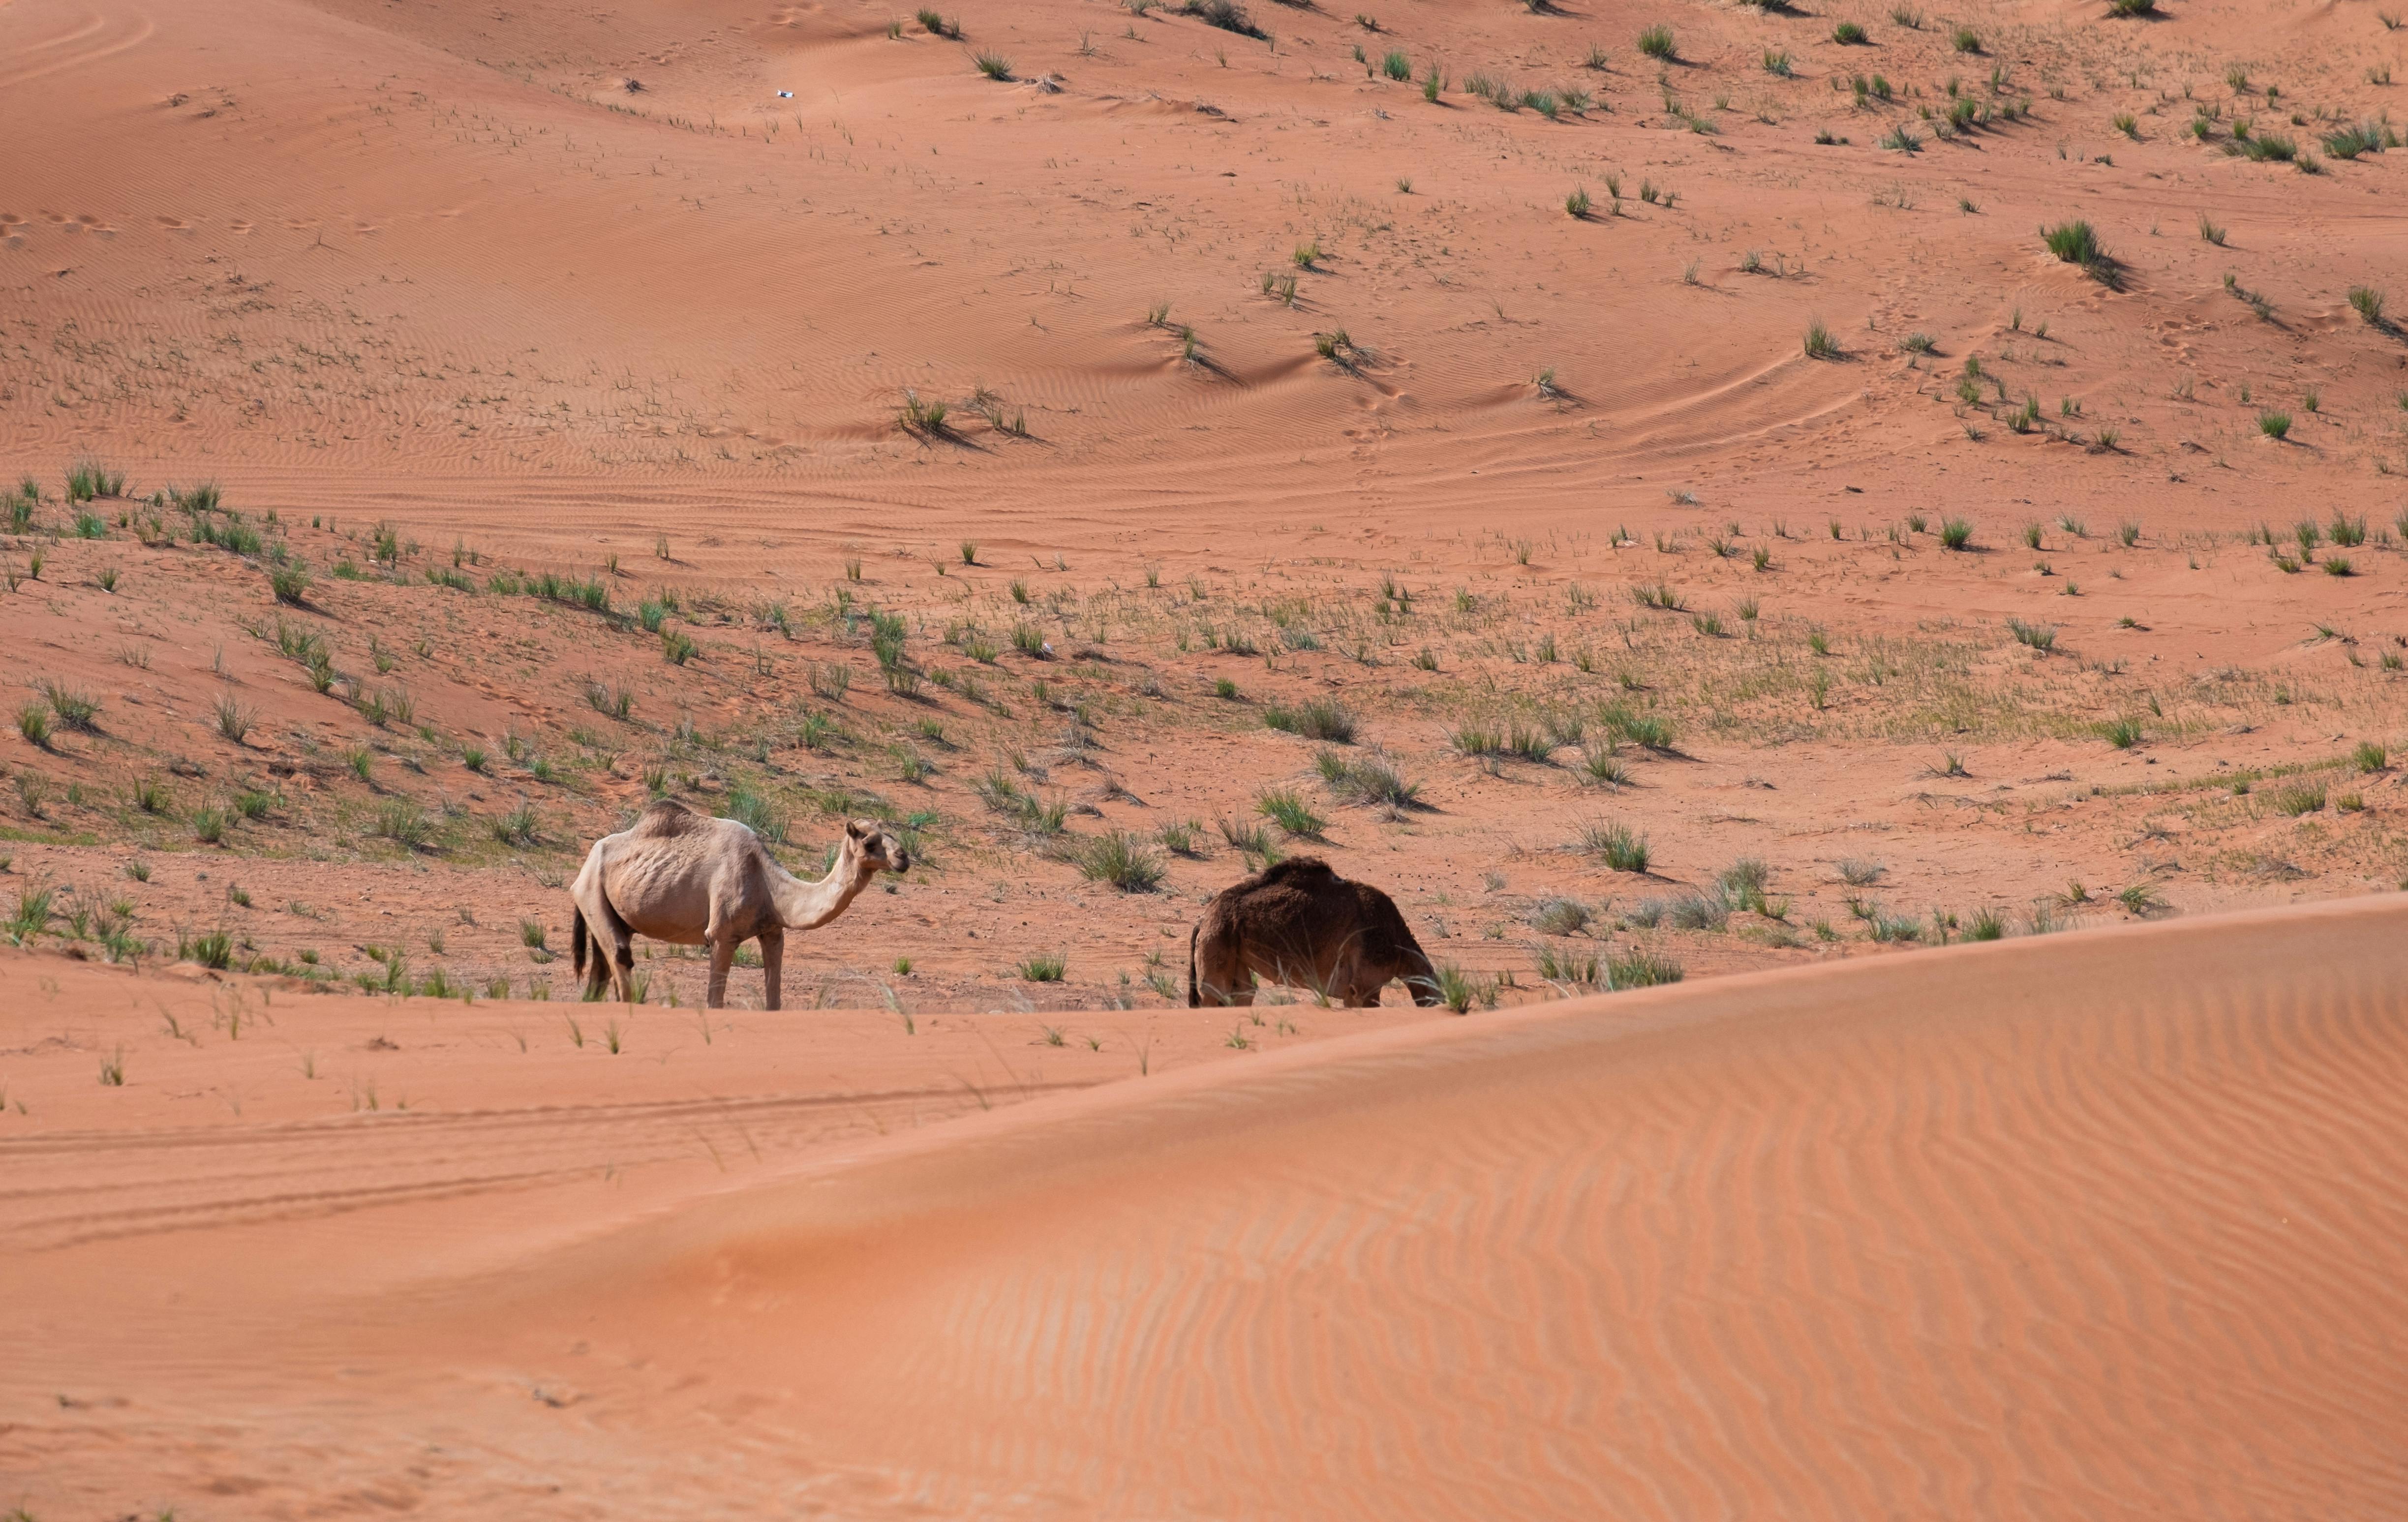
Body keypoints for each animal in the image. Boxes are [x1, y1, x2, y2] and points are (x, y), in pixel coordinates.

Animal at [570, 799, 909, 1009]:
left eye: (892, 834)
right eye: (870, 842)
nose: (904, 858)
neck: (768, 884)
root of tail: (586, 862)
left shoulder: (773, 932)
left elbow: (774, 1001)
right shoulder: (721, 934)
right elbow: (715, 1002)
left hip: (613, 911)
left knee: (601, 970)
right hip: (589, 890)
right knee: (620, 957)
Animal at [1189, 856, 1442, 1009]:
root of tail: (1203, 920)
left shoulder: (1353, 992)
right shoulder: (1365, 986)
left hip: (1233, 954)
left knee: (1242, 994)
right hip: (1217, 942)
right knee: (1214, 995)